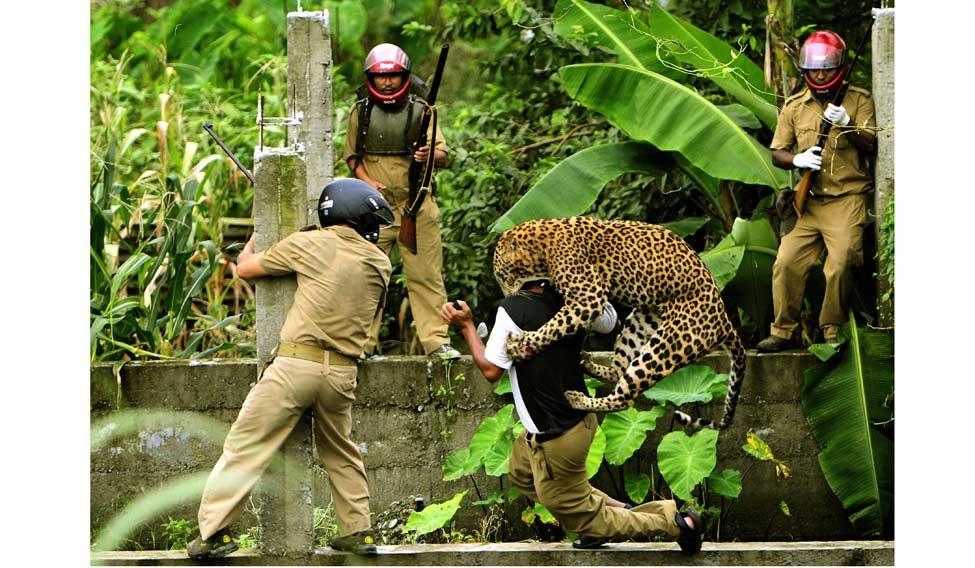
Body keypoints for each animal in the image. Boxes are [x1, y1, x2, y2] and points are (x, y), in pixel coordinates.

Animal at [493, 216, 746, 430]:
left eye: (501, 276)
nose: (506, 297)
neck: (541, 247)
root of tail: (725, 321)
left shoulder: (588, 298)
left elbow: (553, 326)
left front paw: (520, 345)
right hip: (639, 323)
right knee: (619, 371)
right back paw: (588, 364)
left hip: (665, 346)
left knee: (625, 398)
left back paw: (578, 399)